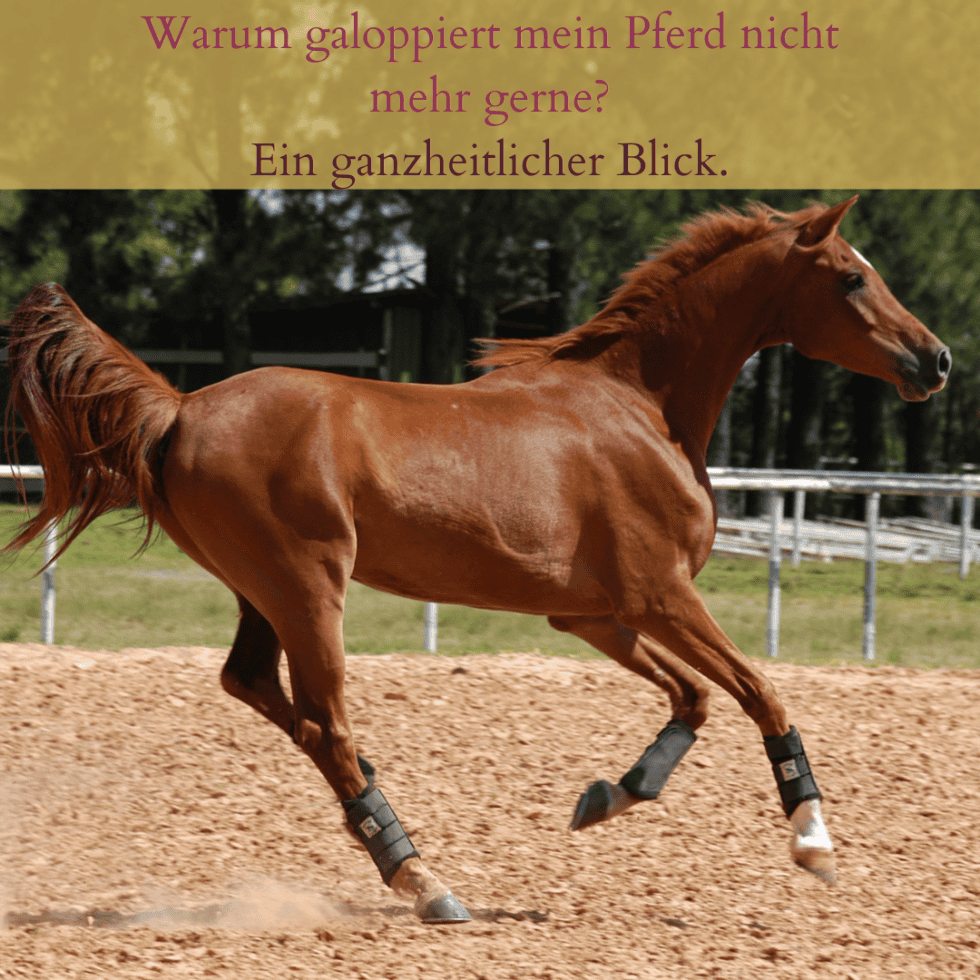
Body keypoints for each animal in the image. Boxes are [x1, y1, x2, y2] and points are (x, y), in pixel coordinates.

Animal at [3, 196, 950, 924]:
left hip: (261, 593)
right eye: (852, 276)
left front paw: (609, 795)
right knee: (327, 723)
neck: (641, 405)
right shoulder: (661, 595)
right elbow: (762, 694)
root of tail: (180, 409)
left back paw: (389, 830)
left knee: (267, 695)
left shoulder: (594, 613)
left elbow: (695, 698)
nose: (935, 359)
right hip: (309, 590)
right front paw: (815, 842)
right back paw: (426, 883)